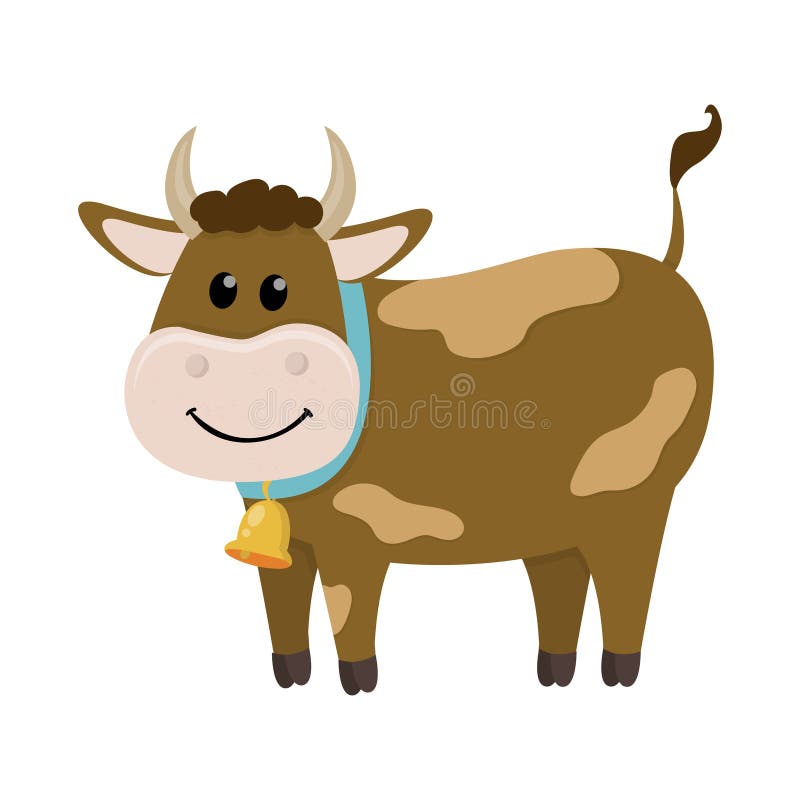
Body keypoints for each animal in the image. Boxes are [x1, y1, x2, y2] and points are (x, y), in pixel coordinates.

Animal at [79, 106, 720, 694]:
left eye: (280, 288)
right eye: (214, 285)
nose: (233, 366)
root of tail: (667, 266)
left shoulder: (355, 534)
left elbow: (348, 610)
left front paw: (358, 685)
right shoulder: (280, 531)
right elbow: (280, 604)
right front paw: (291, 681)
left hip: (639, 495)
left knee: (627, 582)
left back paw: (619, 677)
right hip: (557, 515)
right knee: (560, 578)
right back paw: (553, 676)